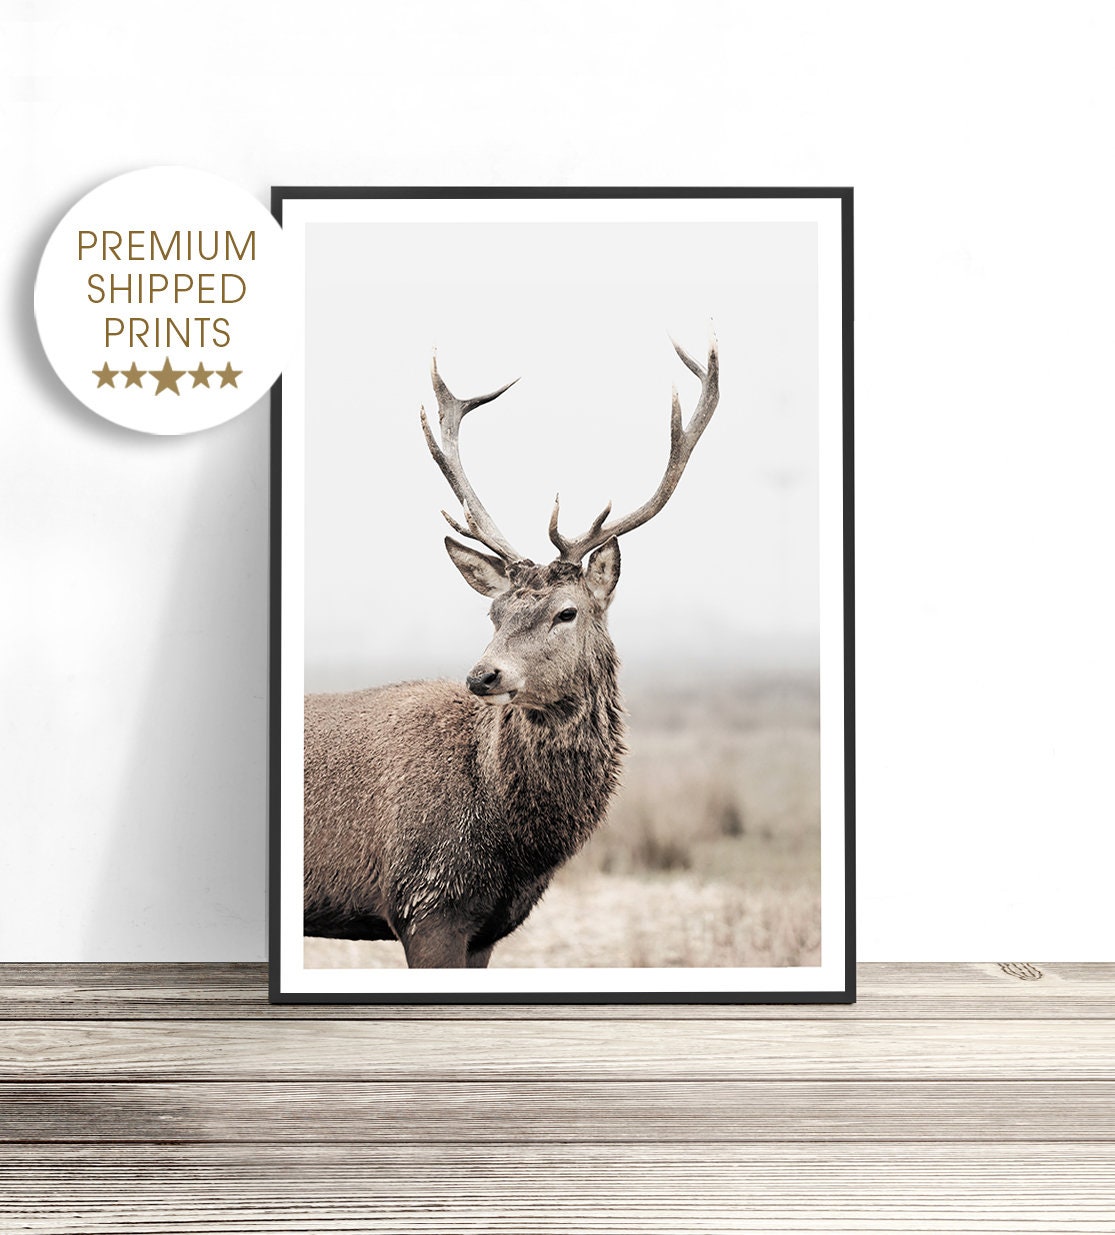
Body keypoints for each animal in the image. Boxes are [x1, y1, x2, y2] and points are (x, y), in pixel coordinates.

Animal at [303, 335, 720, 968]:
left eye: (566, 612)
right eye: (494, 613)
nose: (484, 675)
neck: (512, 847)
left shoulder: (487, 929)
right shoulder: (425, 903)